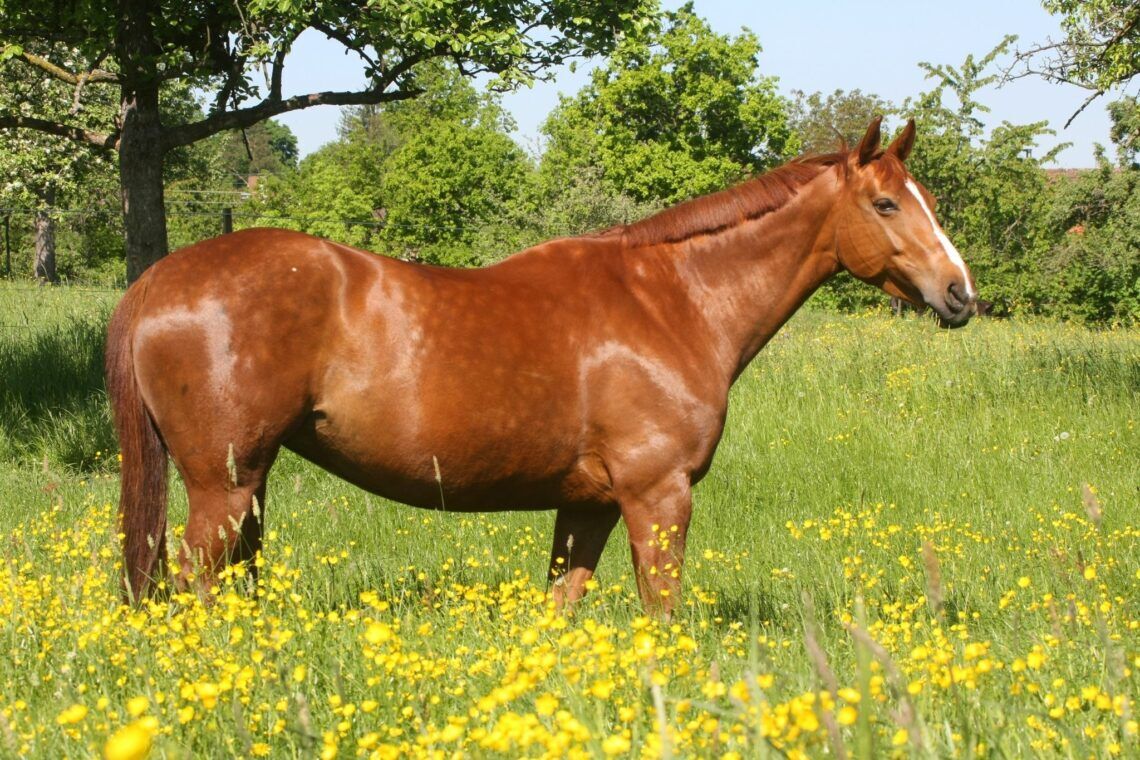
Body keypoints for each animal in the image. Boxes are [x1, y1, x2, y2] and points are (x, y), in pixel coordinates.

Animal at [106, 117, 976, 614]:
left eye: (927, 200)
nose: (960, 293)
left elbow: (564, 609)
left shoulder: (587, 505)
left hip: (248, 484)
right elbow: (661, 616)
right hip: (224, 486)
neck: (673, 300)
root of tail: (159, 281)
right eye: (887, 204)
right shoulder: (656, 497)